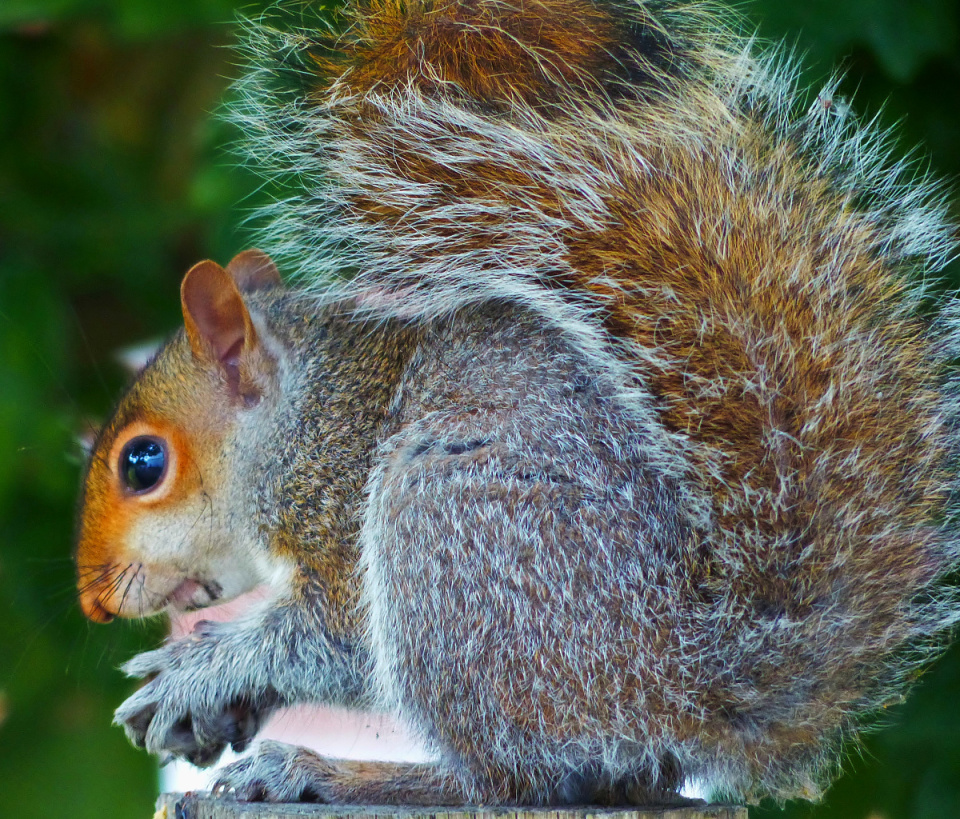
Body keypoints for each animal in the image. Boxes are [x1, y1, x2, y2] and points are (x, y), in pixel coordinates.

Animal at [74, 0, 960, 807]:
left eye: (143, 462)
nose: (93, 601)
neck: (298, 415)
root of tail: (689, 681)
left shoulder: (334, 501)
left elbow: (335, 639)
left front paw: (198, 670)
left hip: (450, 543)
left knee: (504, 781)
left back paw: (330, 772)